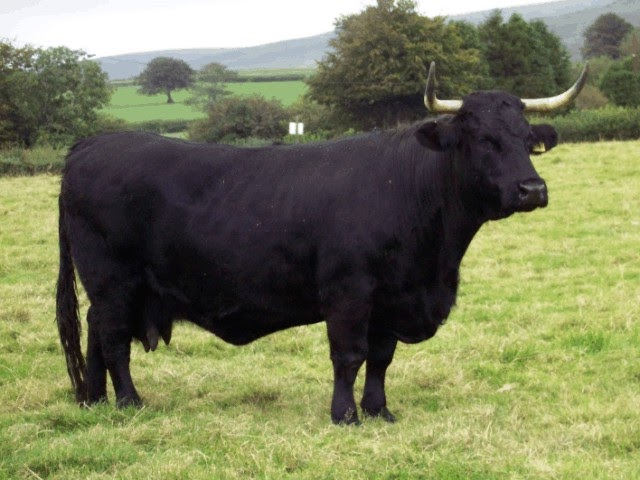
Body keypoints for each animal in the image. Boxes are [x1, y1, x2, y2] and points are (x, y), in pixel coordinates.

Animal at [56, 62, 588, 425]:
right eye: (480, 138)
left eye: (528, 139)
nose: (532, 189)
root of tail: (91, 144)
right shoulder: (348, 291)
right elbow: (349, 355)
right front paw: (345, 415)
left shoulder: (391, 297)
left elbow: (381, 358)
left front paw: (379, 411)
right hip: (114, 280)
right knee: (112, 337)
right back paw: (129, 402)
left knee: (96, 333)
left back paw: (96, 401)